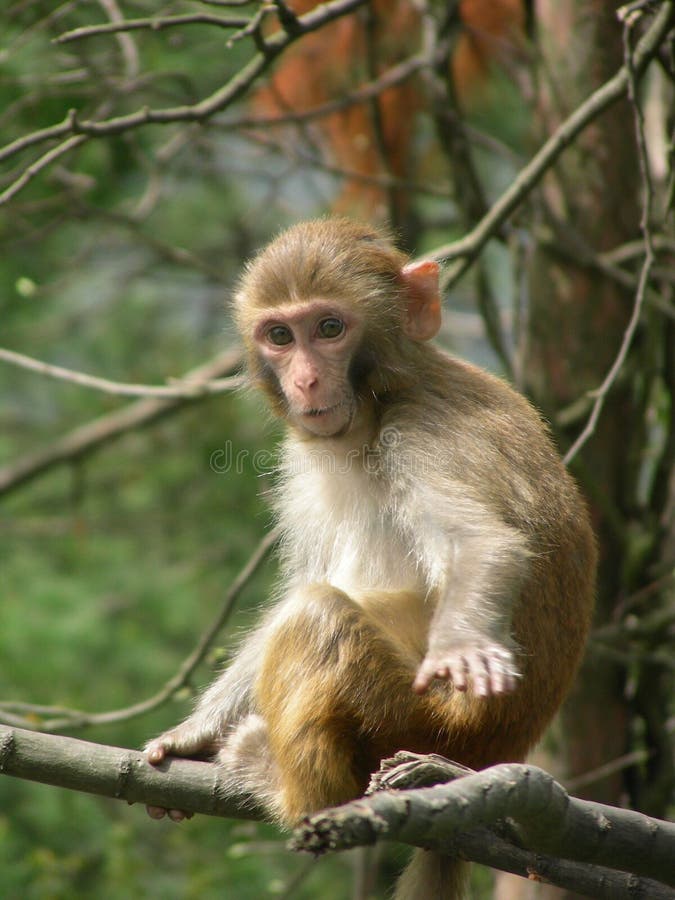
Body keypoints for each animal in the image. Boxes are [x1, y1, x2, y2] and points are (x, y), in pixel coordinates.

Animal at [145, 218, 596, 899]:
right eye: (281, 336)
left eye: (330, 328)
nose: (306, 380)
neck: (380, 402)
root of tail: (496, 755)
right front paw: (194, 732)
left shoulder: (425, 433)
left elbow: (481, 544)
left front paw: (463, 643)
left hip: (419, 723)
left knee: (319, 622)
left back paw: (299, 793)